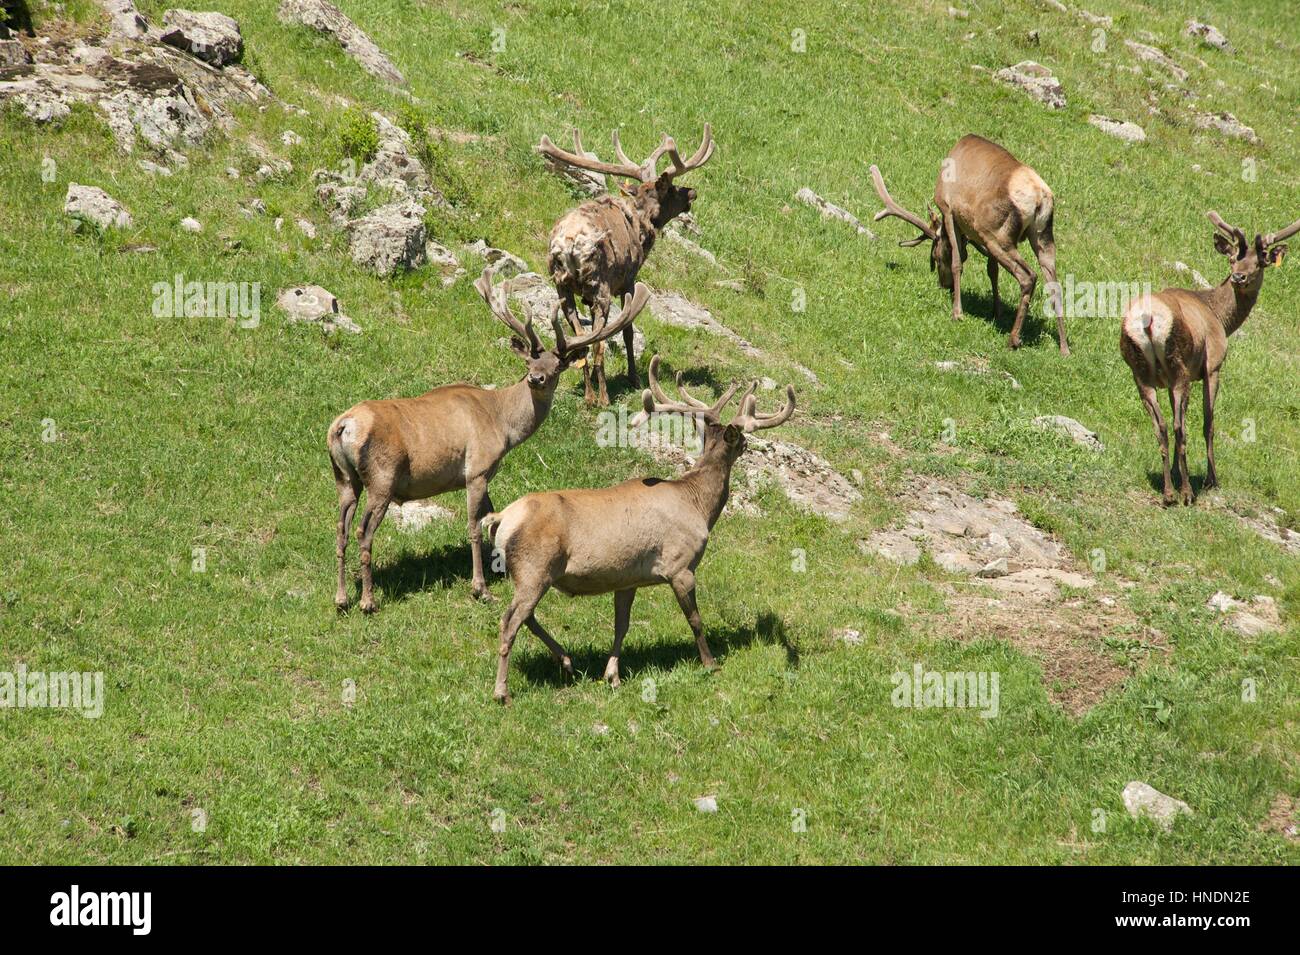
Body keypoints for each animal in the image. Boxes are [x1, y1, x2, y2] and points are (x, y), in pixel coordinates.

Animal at [326, 269, 650, 612]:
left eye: (556, 366)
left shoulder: (487, 473)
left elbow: (494, 520)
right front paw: (480, 588)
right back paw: (368, 600)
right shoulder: (477, 468)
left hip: (344, 477)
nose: (536, 378)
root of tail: (342, 426)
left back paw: (342, 598)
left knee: (340, 528)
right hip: (382, 476)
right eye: (530, 363)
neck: (501, 424)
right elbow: (474, 526)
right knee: (363, 531)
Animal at [479, 355, 795, 703]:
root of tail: (500, 519)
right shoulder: (680, 566)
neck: (697, 504)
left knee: (528, 618)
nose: (748, 444)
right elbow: (695, 620)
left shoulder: (626, 577)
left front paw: (612, 675)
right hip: (534, 567)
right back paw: (502, 691)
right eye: (740, 439)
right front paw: (710, 663)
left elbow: (622, 625)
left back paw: (566, 660)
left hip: (532, 574)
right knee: (509, 621)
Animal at [536, 124, 715, 406]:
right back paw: (603, 398)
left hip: (561, 287)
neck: (642, 225)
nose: (691, 192)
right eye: (671, 188)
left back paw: (588, 395)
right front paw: (634, 377)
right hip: (600, 286)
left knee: (581, 338)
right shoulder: (628, 280)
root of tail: (568, 247)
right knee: (598, 343)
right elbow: (628, 331)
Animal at [870, 134, 1069, 355]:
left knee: (1028, 276)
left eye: (936, 257)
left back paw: (1013, 339)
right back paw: (1064, 348)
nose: (944, 285)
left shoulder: (948, 208)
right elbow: (992, 270)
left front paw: (957, 312)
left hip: (997, 234)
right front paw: (996, 310)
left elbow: (958, 262)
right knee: (1055, 284)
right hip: (1042, 236)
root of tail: (1039, 198)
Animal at [1120, 210, 1295, 506]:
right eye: (1233, 258)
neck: (1219, 317)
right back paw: (1187, 492)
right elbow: (1208, 423)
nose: (1238, 277)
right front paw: (1212, 479)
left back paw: (1169, 493)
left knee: (1162, 425)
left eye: (1259, 262)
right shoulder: (1212, 366)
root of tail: (1148, 320)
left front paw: (1177, 473)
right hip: (1179, 366)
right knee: (1179, 427)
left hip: (1140, 372)